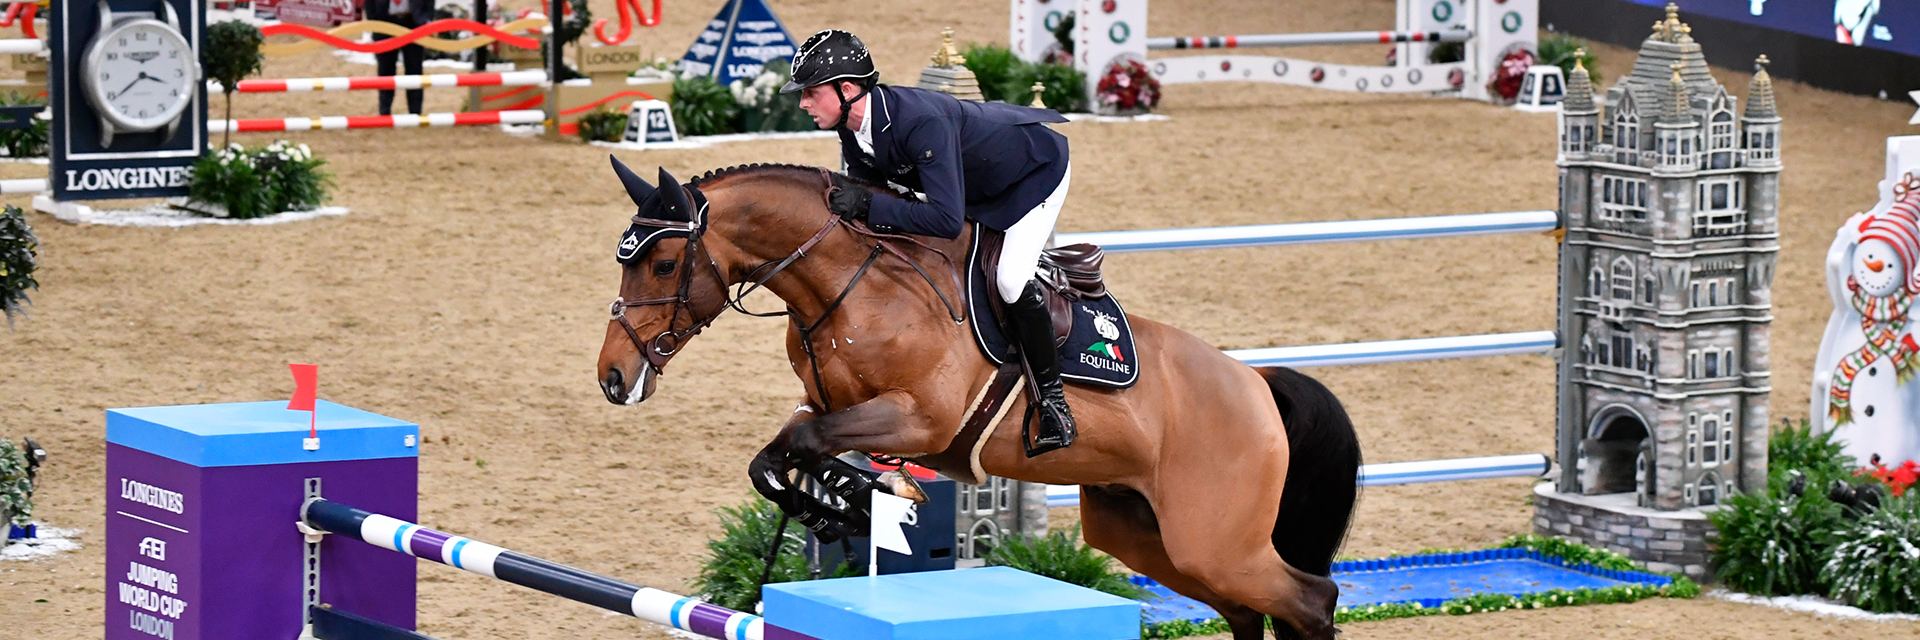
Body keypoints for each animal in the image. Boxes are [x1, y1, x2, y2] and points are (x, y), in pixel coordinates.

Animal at [594, 158, 1363, 640]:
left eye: (664, 264)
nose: (613, 376)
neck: (851, 283)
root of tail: (1257, 386)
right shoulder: (825, 406)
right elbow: (775, 457)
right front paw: (838, 504)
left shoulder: (920, 421)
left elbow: (809, 448)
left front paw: (857, 499)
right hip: (1143, 534)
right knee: (1248, 610)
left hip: (1215, 541)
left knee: (1309, 600)